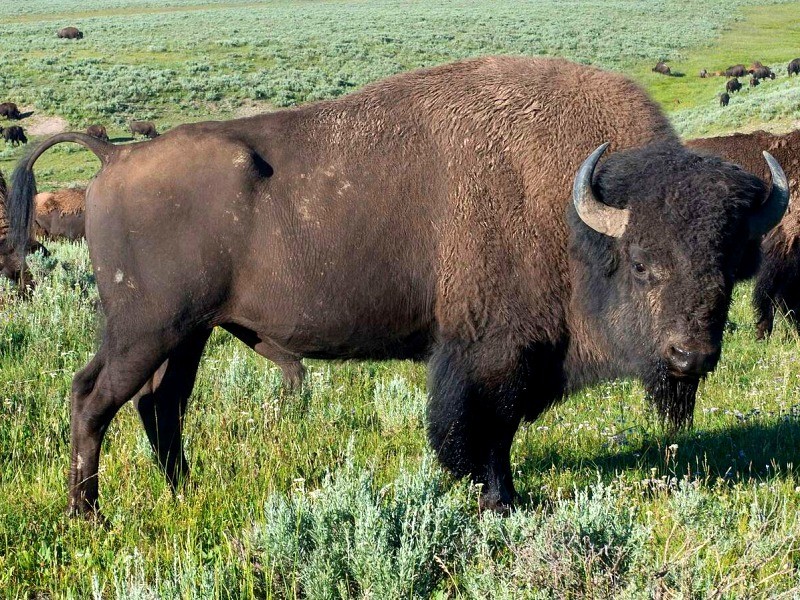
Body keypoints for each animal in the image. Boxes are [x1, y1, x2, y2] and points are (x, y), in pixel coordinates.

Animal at [6, 56, 788, 518]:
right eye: (644, 263)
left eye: (728, 264)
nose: (691, 357)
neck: (578, 216)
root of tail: (115, 160)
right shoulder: (489, 355)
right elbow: (481, 431)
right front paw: (501, 503)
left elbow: (494, 431)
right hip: (143, 330)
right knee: (93, 398)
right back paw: (86, 513)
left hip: (188, 334)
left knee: (160, 405)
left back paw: (183, 492)